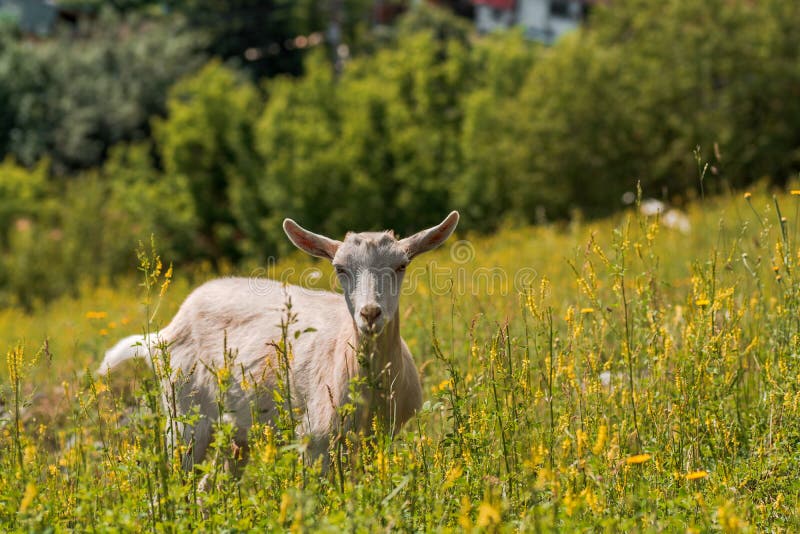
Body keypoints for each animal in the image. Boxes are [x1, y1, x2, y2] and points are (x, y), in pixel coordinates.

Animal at [98, 212, 460, 470]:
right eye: (340, 268)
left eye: (402, 265)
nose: (370, 314)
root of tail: (162, 335)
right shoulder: (314, 438)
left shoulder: (376, 439)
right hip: (183, 411)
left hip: (236, 433)